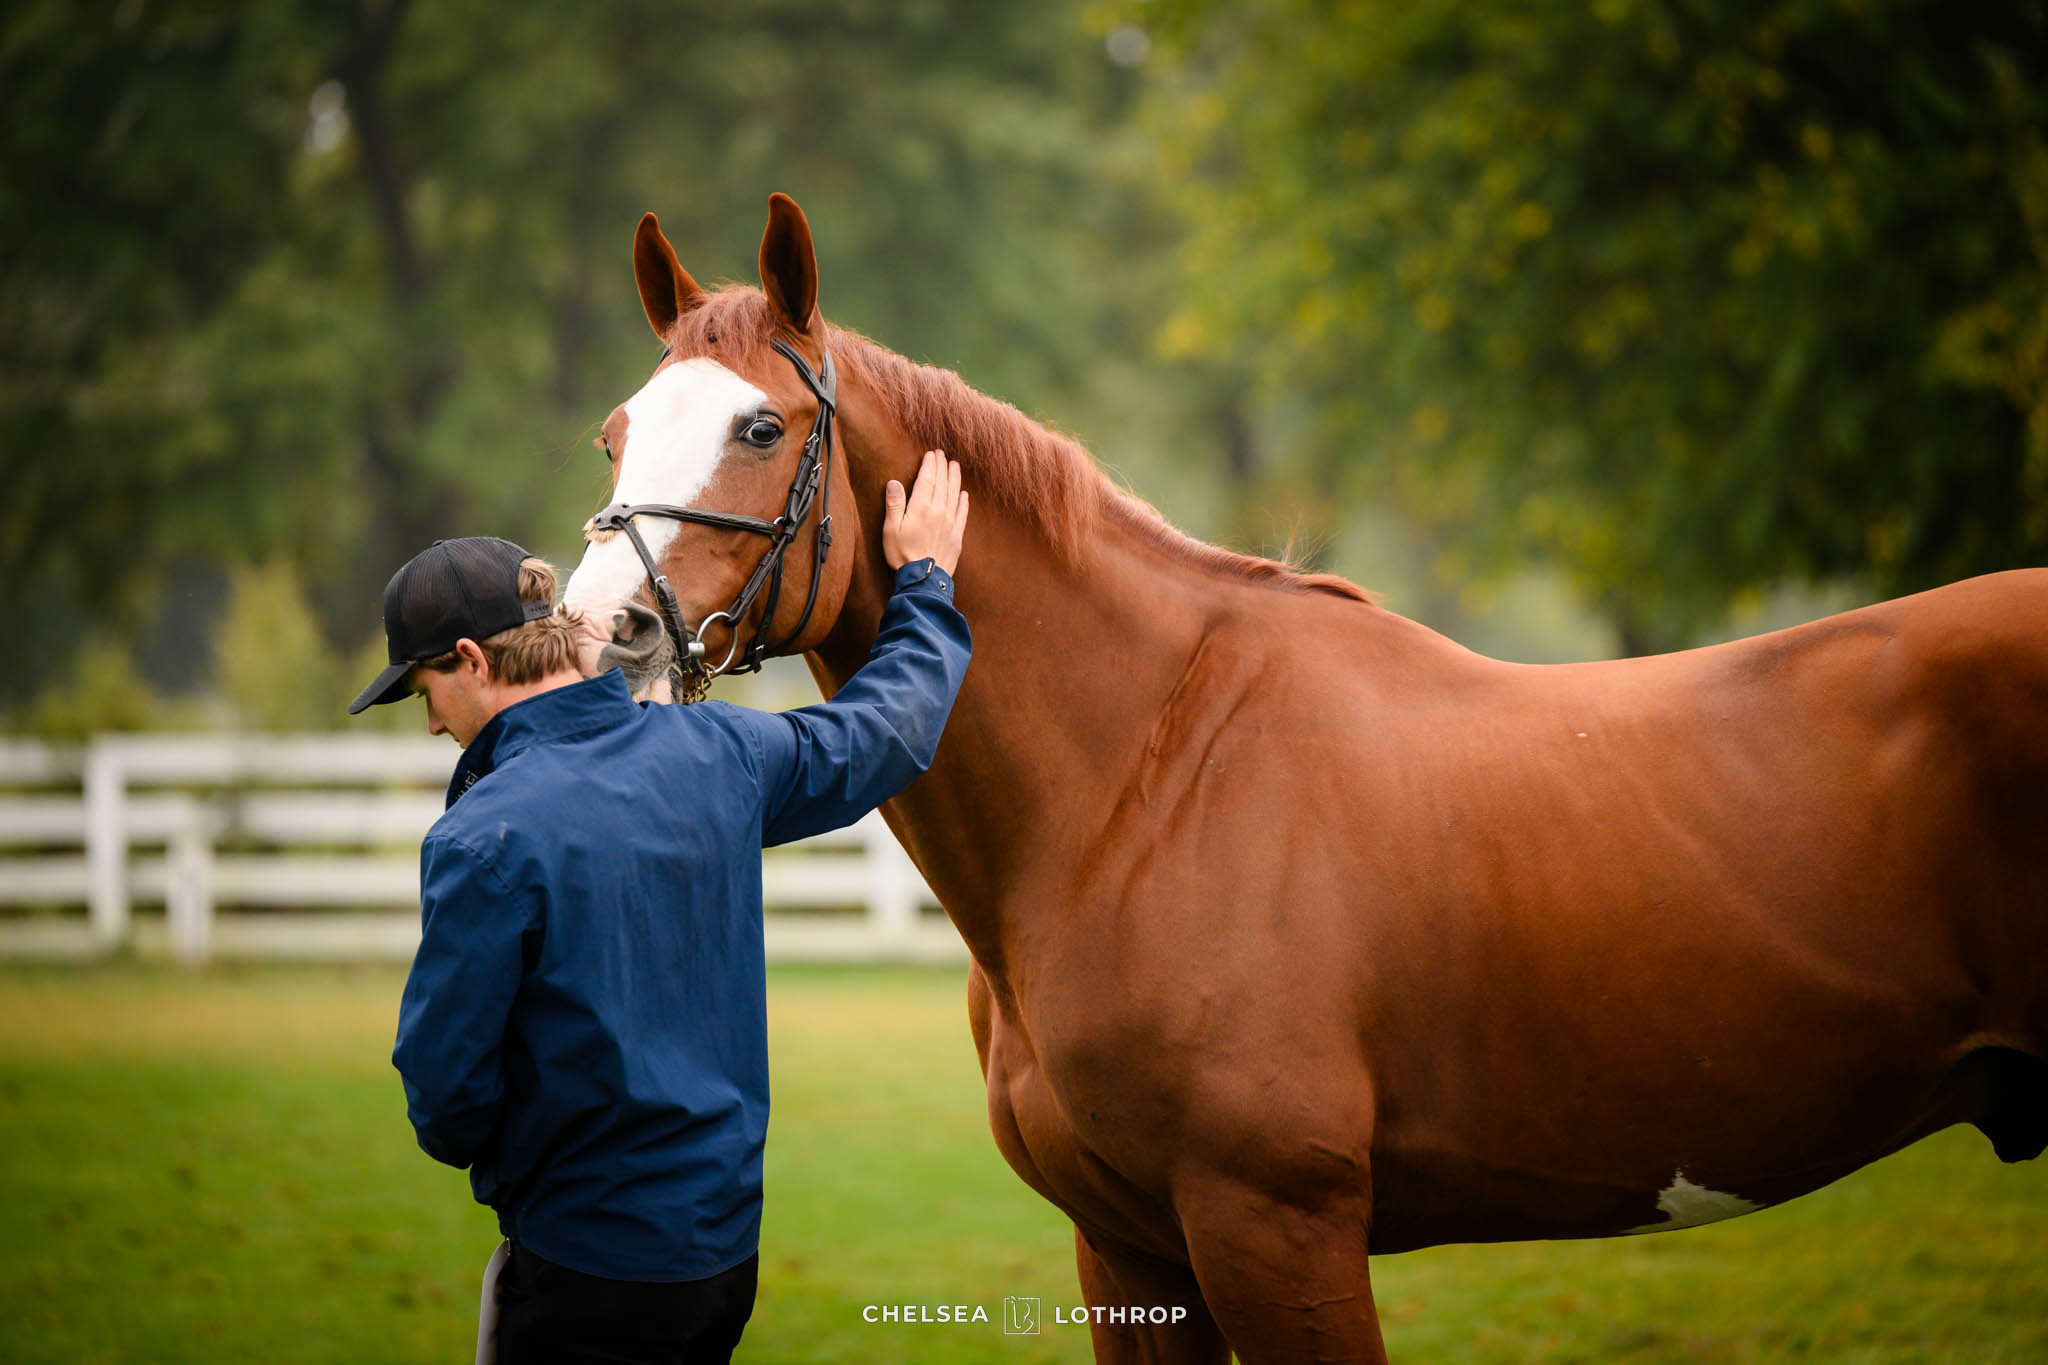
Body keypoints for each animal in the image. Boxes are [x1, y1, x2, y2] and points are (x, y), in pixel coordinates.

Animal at [560, 193, 2048, 1363]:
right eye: (616, 431)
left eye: (760, 429)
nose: (597, 629)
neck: (1141, 783)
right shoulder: (1131, 1252)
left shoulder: (1276, 1231)